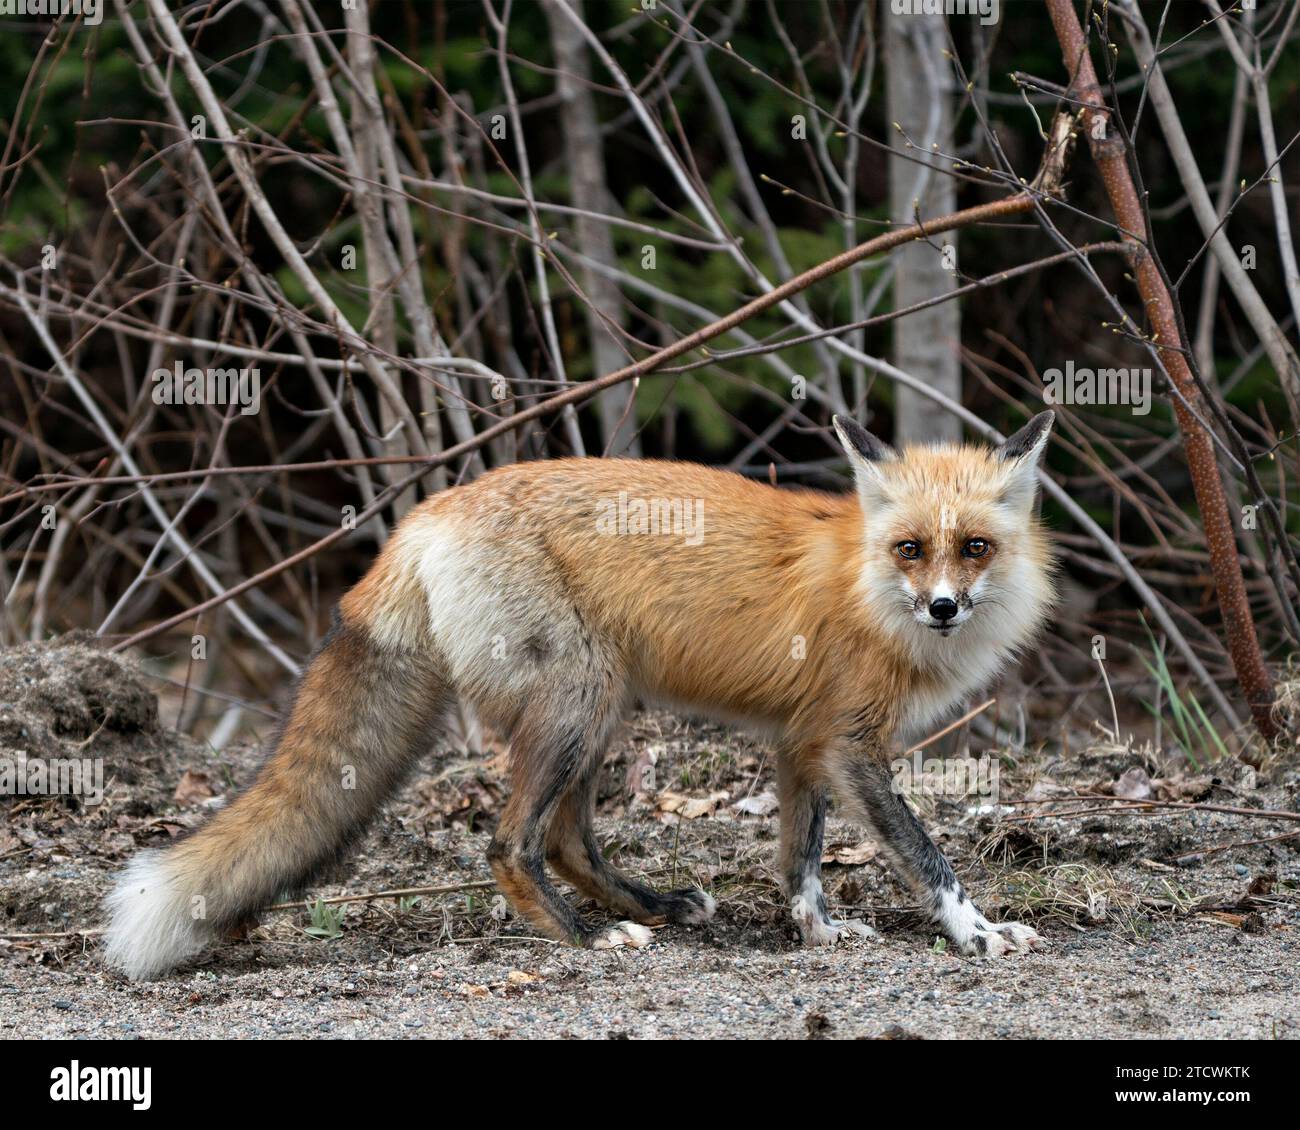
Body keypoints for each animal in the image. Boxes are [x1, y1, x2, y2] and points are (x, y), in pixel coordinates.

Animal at [103, 410, 1056, 979]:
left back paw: (654, 908)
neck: (868, 592)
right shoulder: (848, 744)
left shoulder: (804, 741)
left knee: (564, 841)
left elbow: (802, 862)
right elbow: (926, 856)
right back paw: (587, 937)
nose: (943, 608)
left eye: (973, 548)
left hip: (598, 710)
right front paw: (975, 934)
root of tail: (425, 514)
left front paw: (817, 935)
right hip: (578, 701)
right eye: (910, 549)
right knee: (509, 844)